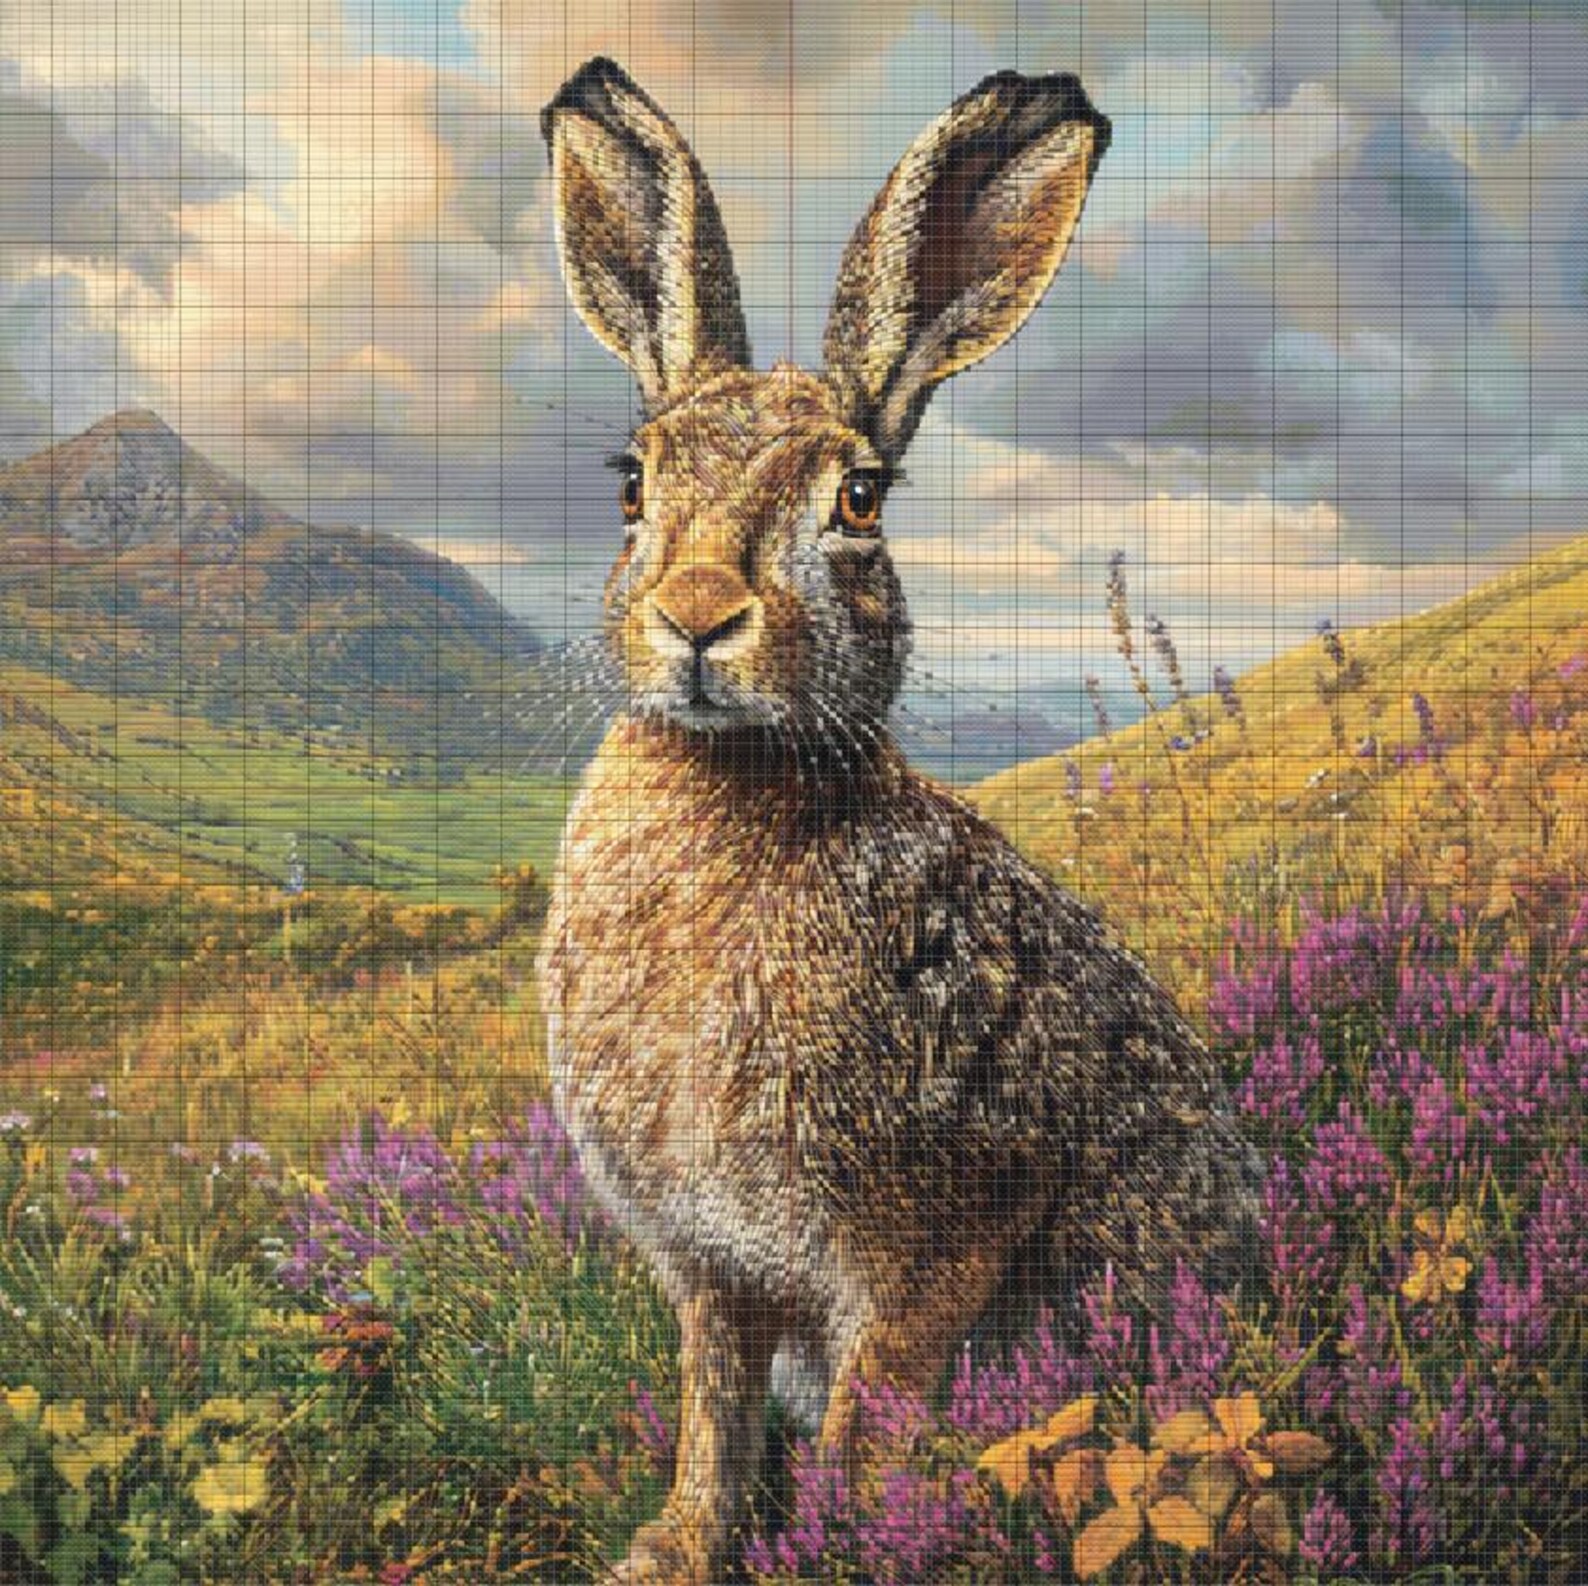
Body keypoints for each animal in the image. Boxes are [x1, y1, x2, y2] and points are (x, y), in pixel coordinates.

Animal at [537, 57, 1261, 1585]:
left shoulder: (932, 1237)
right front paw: (674, 1549)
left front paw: (843, 1549)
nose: (697, 615)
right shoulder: (709, 1265)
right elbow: (713, 1403)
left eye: (858, 499)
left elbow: (867, 1425)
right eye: (633, 481)